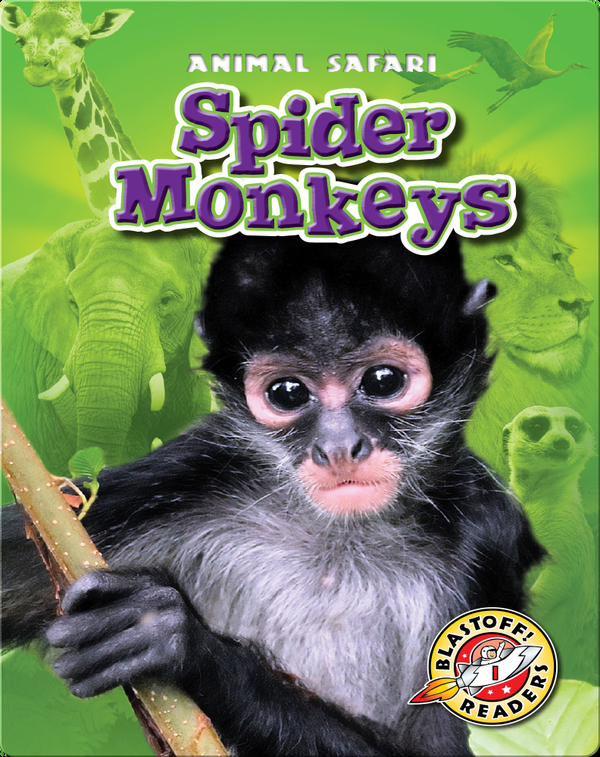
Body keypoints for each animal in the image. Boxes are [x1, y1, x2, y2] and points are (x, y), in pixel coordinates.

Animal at [1, 233, 542, 757]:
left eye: (383, 381)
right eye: (287, 393)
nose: (338, 447)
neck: (338, 538)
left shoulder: (487, 532)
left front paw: (177, 641)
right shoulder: (192, 468)